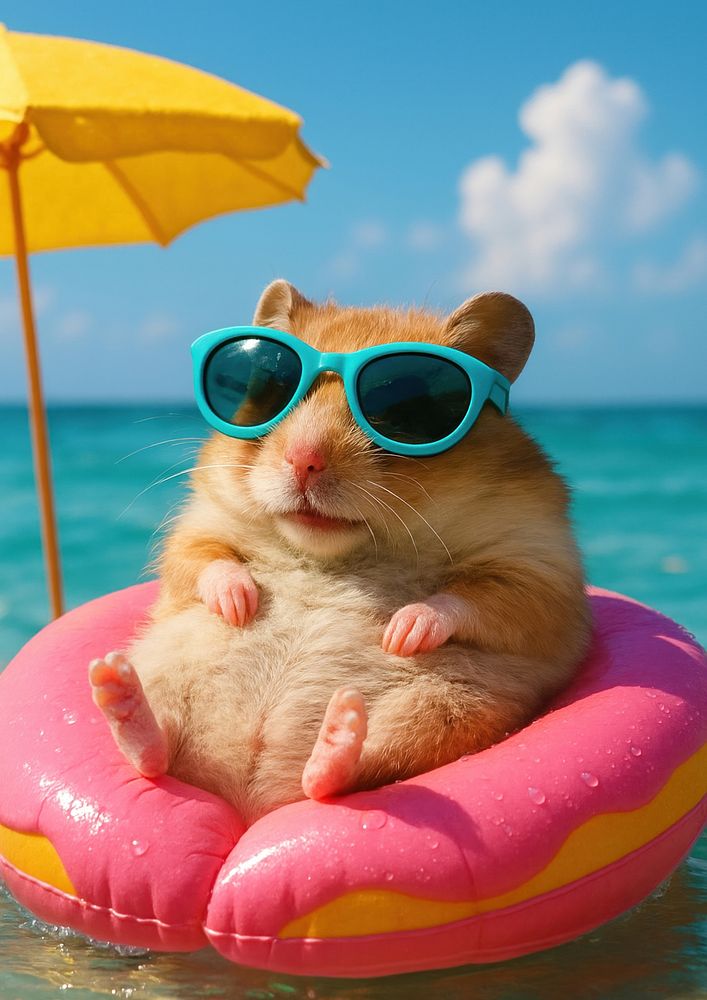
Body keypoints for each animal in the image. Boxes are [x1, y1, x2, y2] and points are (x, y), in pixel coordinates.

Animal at [89, 280, 591, 824]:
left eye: (405, 409)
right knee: (155, 755)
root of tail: (248, 798)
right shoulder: (199, 525)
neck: (332, 550)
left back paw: (339, 732)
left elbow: (472, 599)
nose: (303, 461)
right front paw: (241, 604)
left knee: (348, 772)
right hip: (165, 669)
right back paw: (115, 687)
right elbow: (206, 562)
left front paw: (401, 632)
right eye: (274, 392)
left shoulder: (538, 567)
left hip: (447, 711)